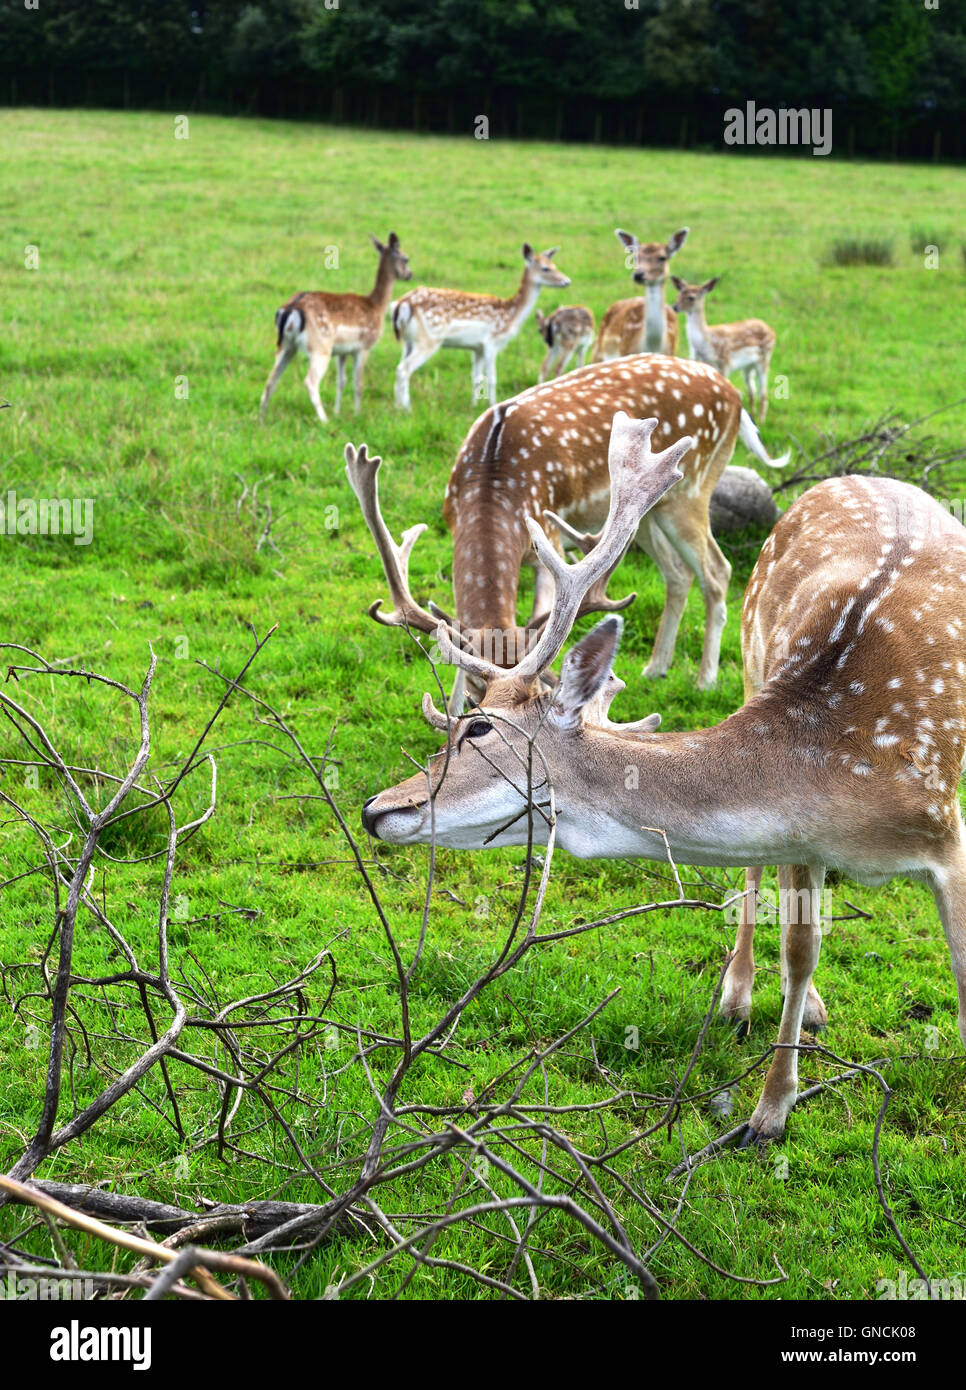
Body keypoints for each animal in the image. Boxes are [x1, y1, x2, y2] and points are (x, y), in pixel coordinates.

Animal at [259, 232, 412, 424]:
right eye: (406, 258)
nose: (410, 274)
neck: (377, 306)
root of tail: (290, 309)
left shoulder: (342, 352)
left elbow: (342, 381)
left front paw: (338, 412)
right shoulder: (364, 347)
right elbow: (357, 383)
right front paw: (357, 414)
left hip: (286, 346)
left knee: (271, 379)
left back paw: (261, 419)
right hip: (320, 347)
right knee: (310, 381)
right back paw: (324, 420)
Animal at [355, 413, 966, 1148]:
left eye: (476, 729)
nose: (377, 806)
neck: (848, 762)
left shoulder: (947, 834)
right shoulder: (801, 839)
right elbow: (800, 947)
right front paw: (770, 1110)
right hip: (752, 656)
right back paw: (741, 994)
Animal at [392, 244, 571, 410]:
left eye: (554, 265)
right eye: (546, 268)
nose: (567, 281)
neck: (511, 315)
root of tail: (402, 305)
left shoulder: (476, 347)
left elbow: (476, 378)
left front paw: (473, 405)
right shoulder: (491, 342)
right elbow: (492, 378)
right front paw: (493, 404)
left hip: (407, 341)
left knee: (399, 367)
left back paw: (398, 406)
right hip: (429, 339)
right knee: (404, 368)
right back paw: (407, 408)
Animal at [592, 228, 688, 362]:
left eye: (662, 257)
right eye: (636, 257)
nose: (638, 275)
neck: (652, 345)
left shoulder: (672, 352)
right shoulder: (626, 351)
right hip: (597, 351)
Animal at [670, 276, 777, 423]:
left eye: (691, 297)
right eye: (678, 294)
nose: (675, 307)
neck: (706, 344)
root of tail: (771, 330)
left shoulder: (724, 362)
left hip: (765, 358)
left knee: (763, 392)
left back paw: (761, 420)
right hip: (747, 366)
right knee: (752, 390)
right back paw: (754, 416)